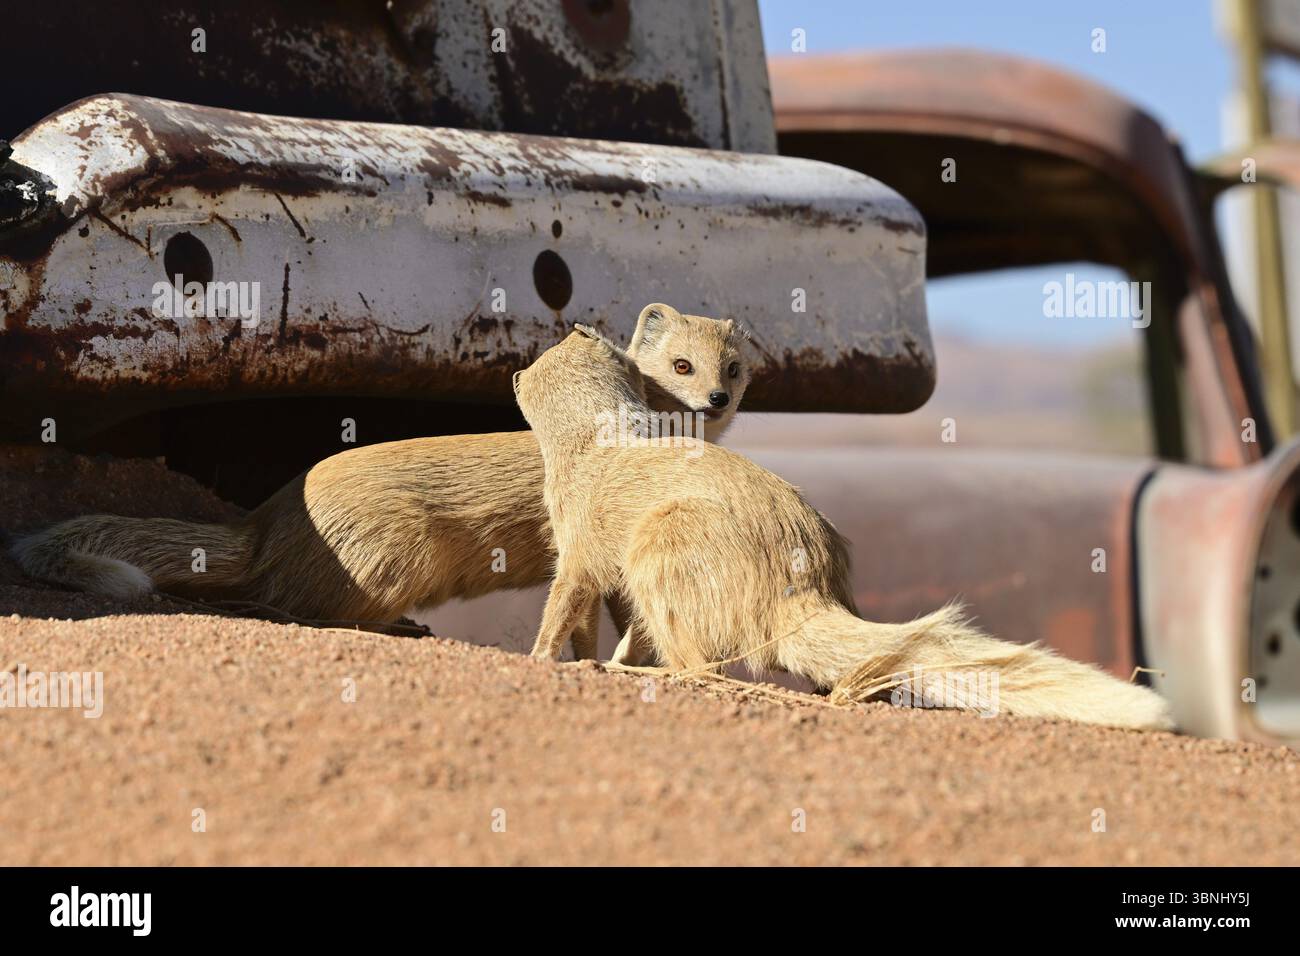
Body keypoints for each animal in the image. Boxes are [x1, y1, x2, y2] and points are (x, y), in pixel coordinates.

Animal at [11, 306, 752, 659]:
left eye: (735, 367)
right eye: (680, 365)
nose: (714, 398)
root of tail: (262, 521)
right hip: (397, 547)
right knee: (300, 607)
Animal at [511, 307, 1175, 731]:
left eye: (731, 369)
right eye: (680, 366)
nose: (718, 397)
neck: (601, 435)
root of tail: (809, 584)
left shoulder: (580, 550)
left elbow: (564, 603)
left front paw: (543, 657)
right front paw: (591, 654)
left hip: (662, 545)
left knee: (703, 663)